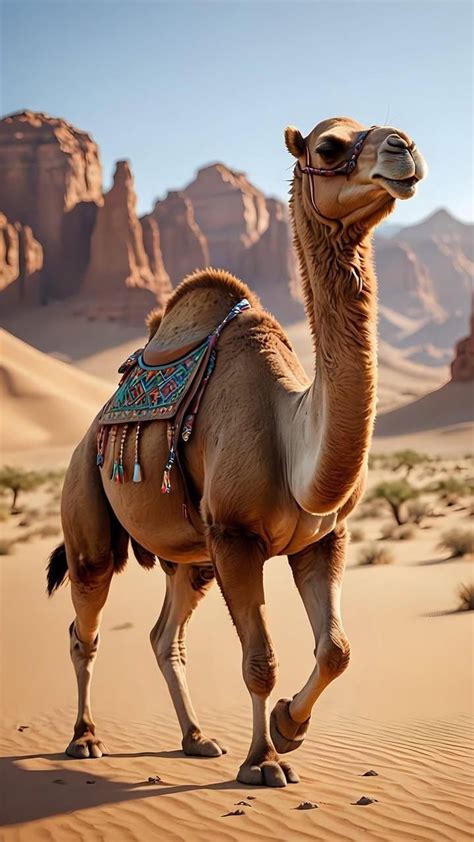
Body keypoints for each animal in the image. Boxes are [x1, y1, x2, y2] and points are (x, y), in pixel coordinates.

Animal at [47, 116, 426, 788]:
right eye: (329, 145)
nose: (402, 147)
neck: (293, 437)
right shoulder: (234, 535)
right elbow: (261, 660)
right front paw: (265, 761)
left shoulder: (321, 538)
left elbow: (337, 649)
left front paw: (287, 727)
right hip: (89, 514)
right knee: (82, 626)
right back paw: (85, 739)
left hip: (189, 557)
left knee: (163, 636)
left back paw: (197, 738)